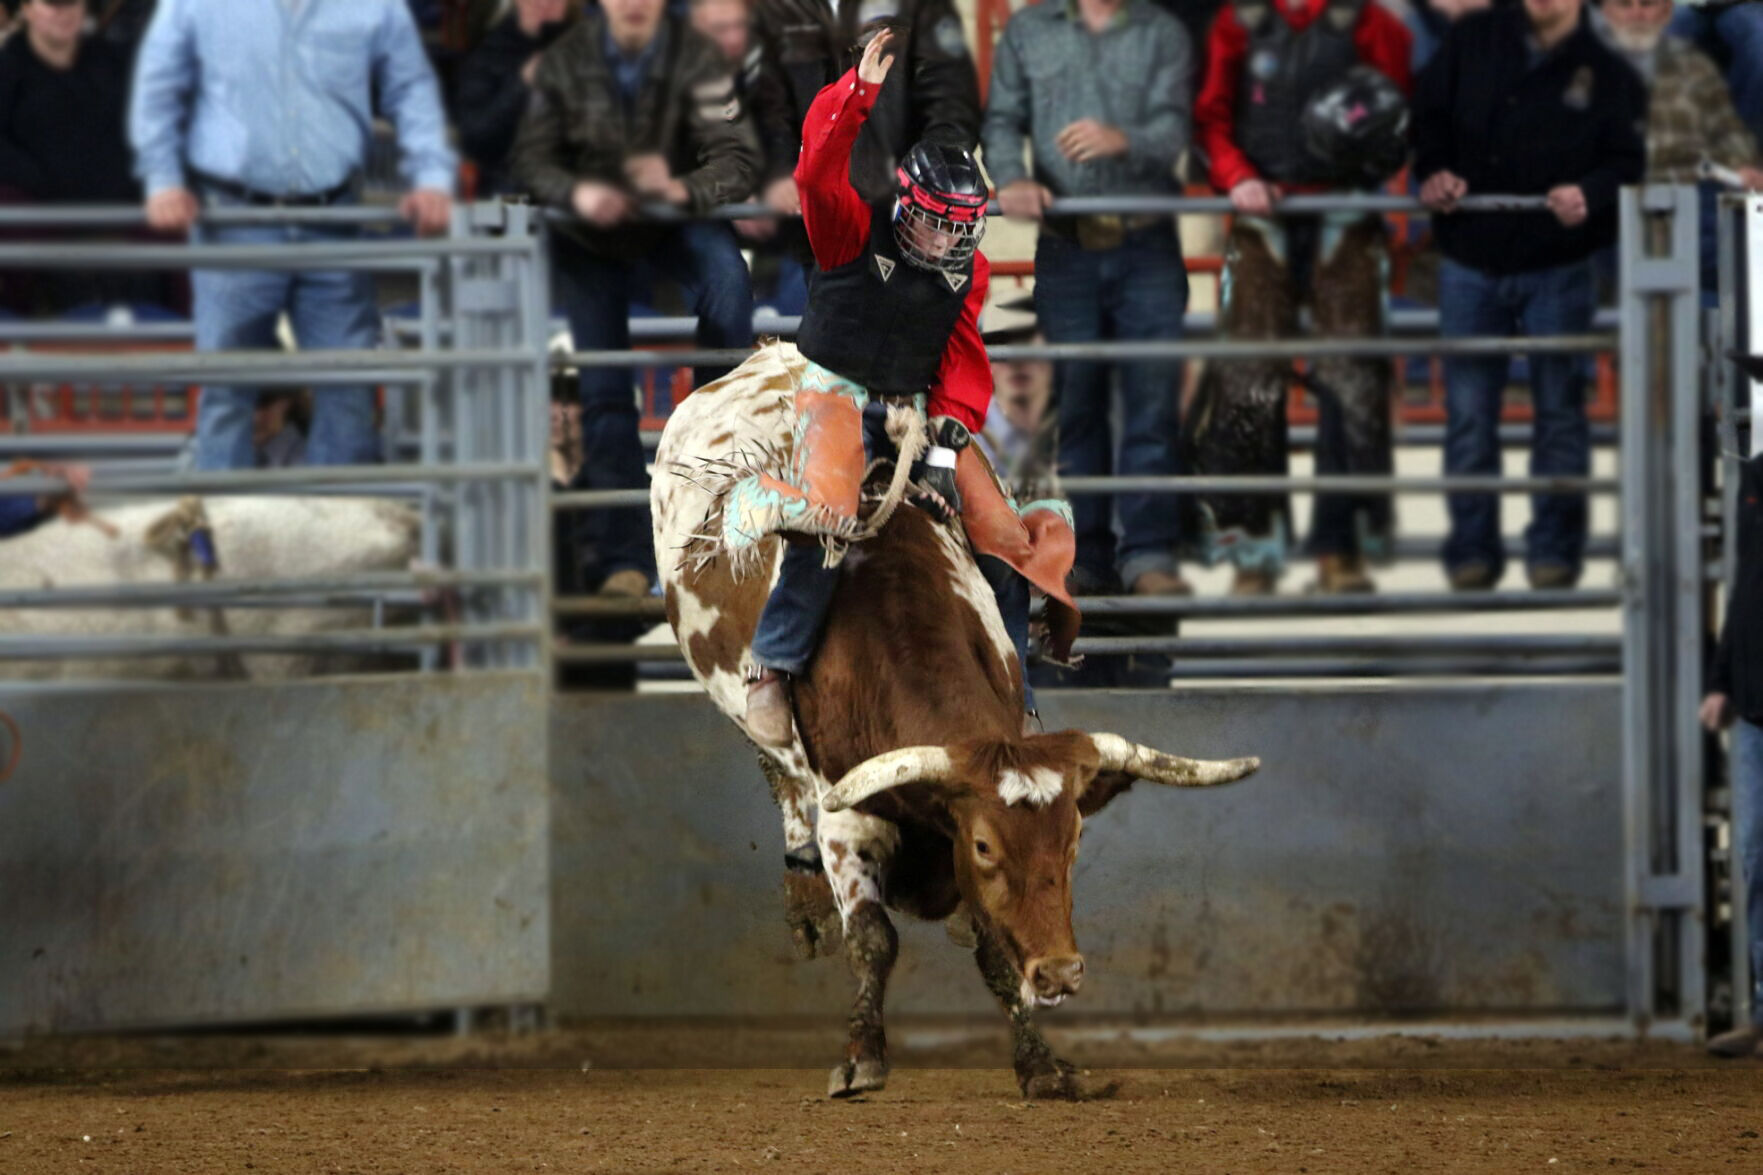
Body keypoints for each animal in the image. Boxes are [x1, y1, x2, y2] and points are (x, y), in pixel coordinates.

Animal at [654, 343, 1260, 1099]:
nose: (1061, 972)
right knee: (776, 771)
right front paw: (861, 1055)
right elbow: (873, 939)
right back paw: (804, 896)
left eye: (1073, 840)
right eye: (983, 845)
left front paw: (1040, 1063)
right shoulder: (849, 820)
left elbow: (995, 952)